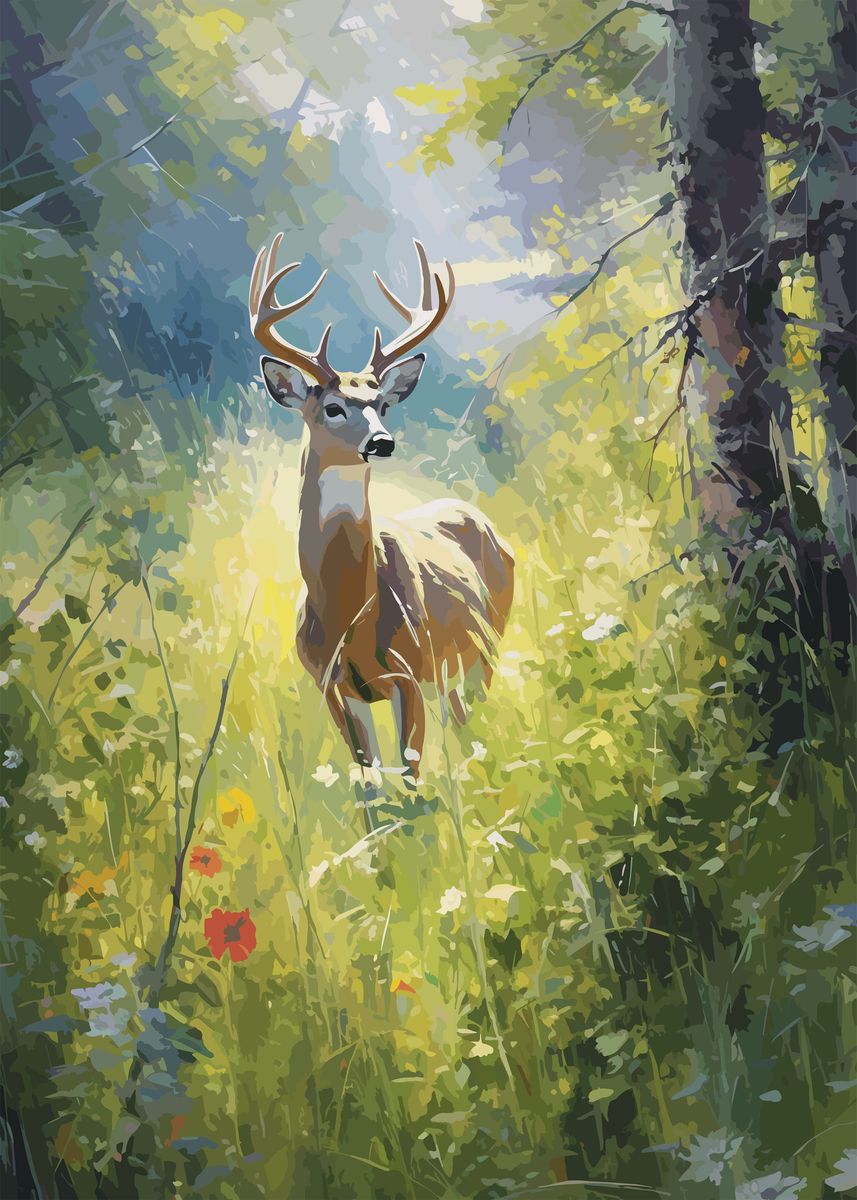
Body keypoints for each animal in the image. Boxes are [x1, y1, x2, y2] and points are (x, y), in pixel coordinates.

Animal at [249, 233, 514, 825]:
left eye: (382, 405)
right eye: (332, 406)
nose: (383, 441)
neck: (350, 610)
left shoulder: (408, 674)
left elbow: (411, 777)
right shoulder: (331, 686)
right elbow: (367, 786)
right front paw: (375, 842)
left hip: (486, 645)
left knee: (474, 723)